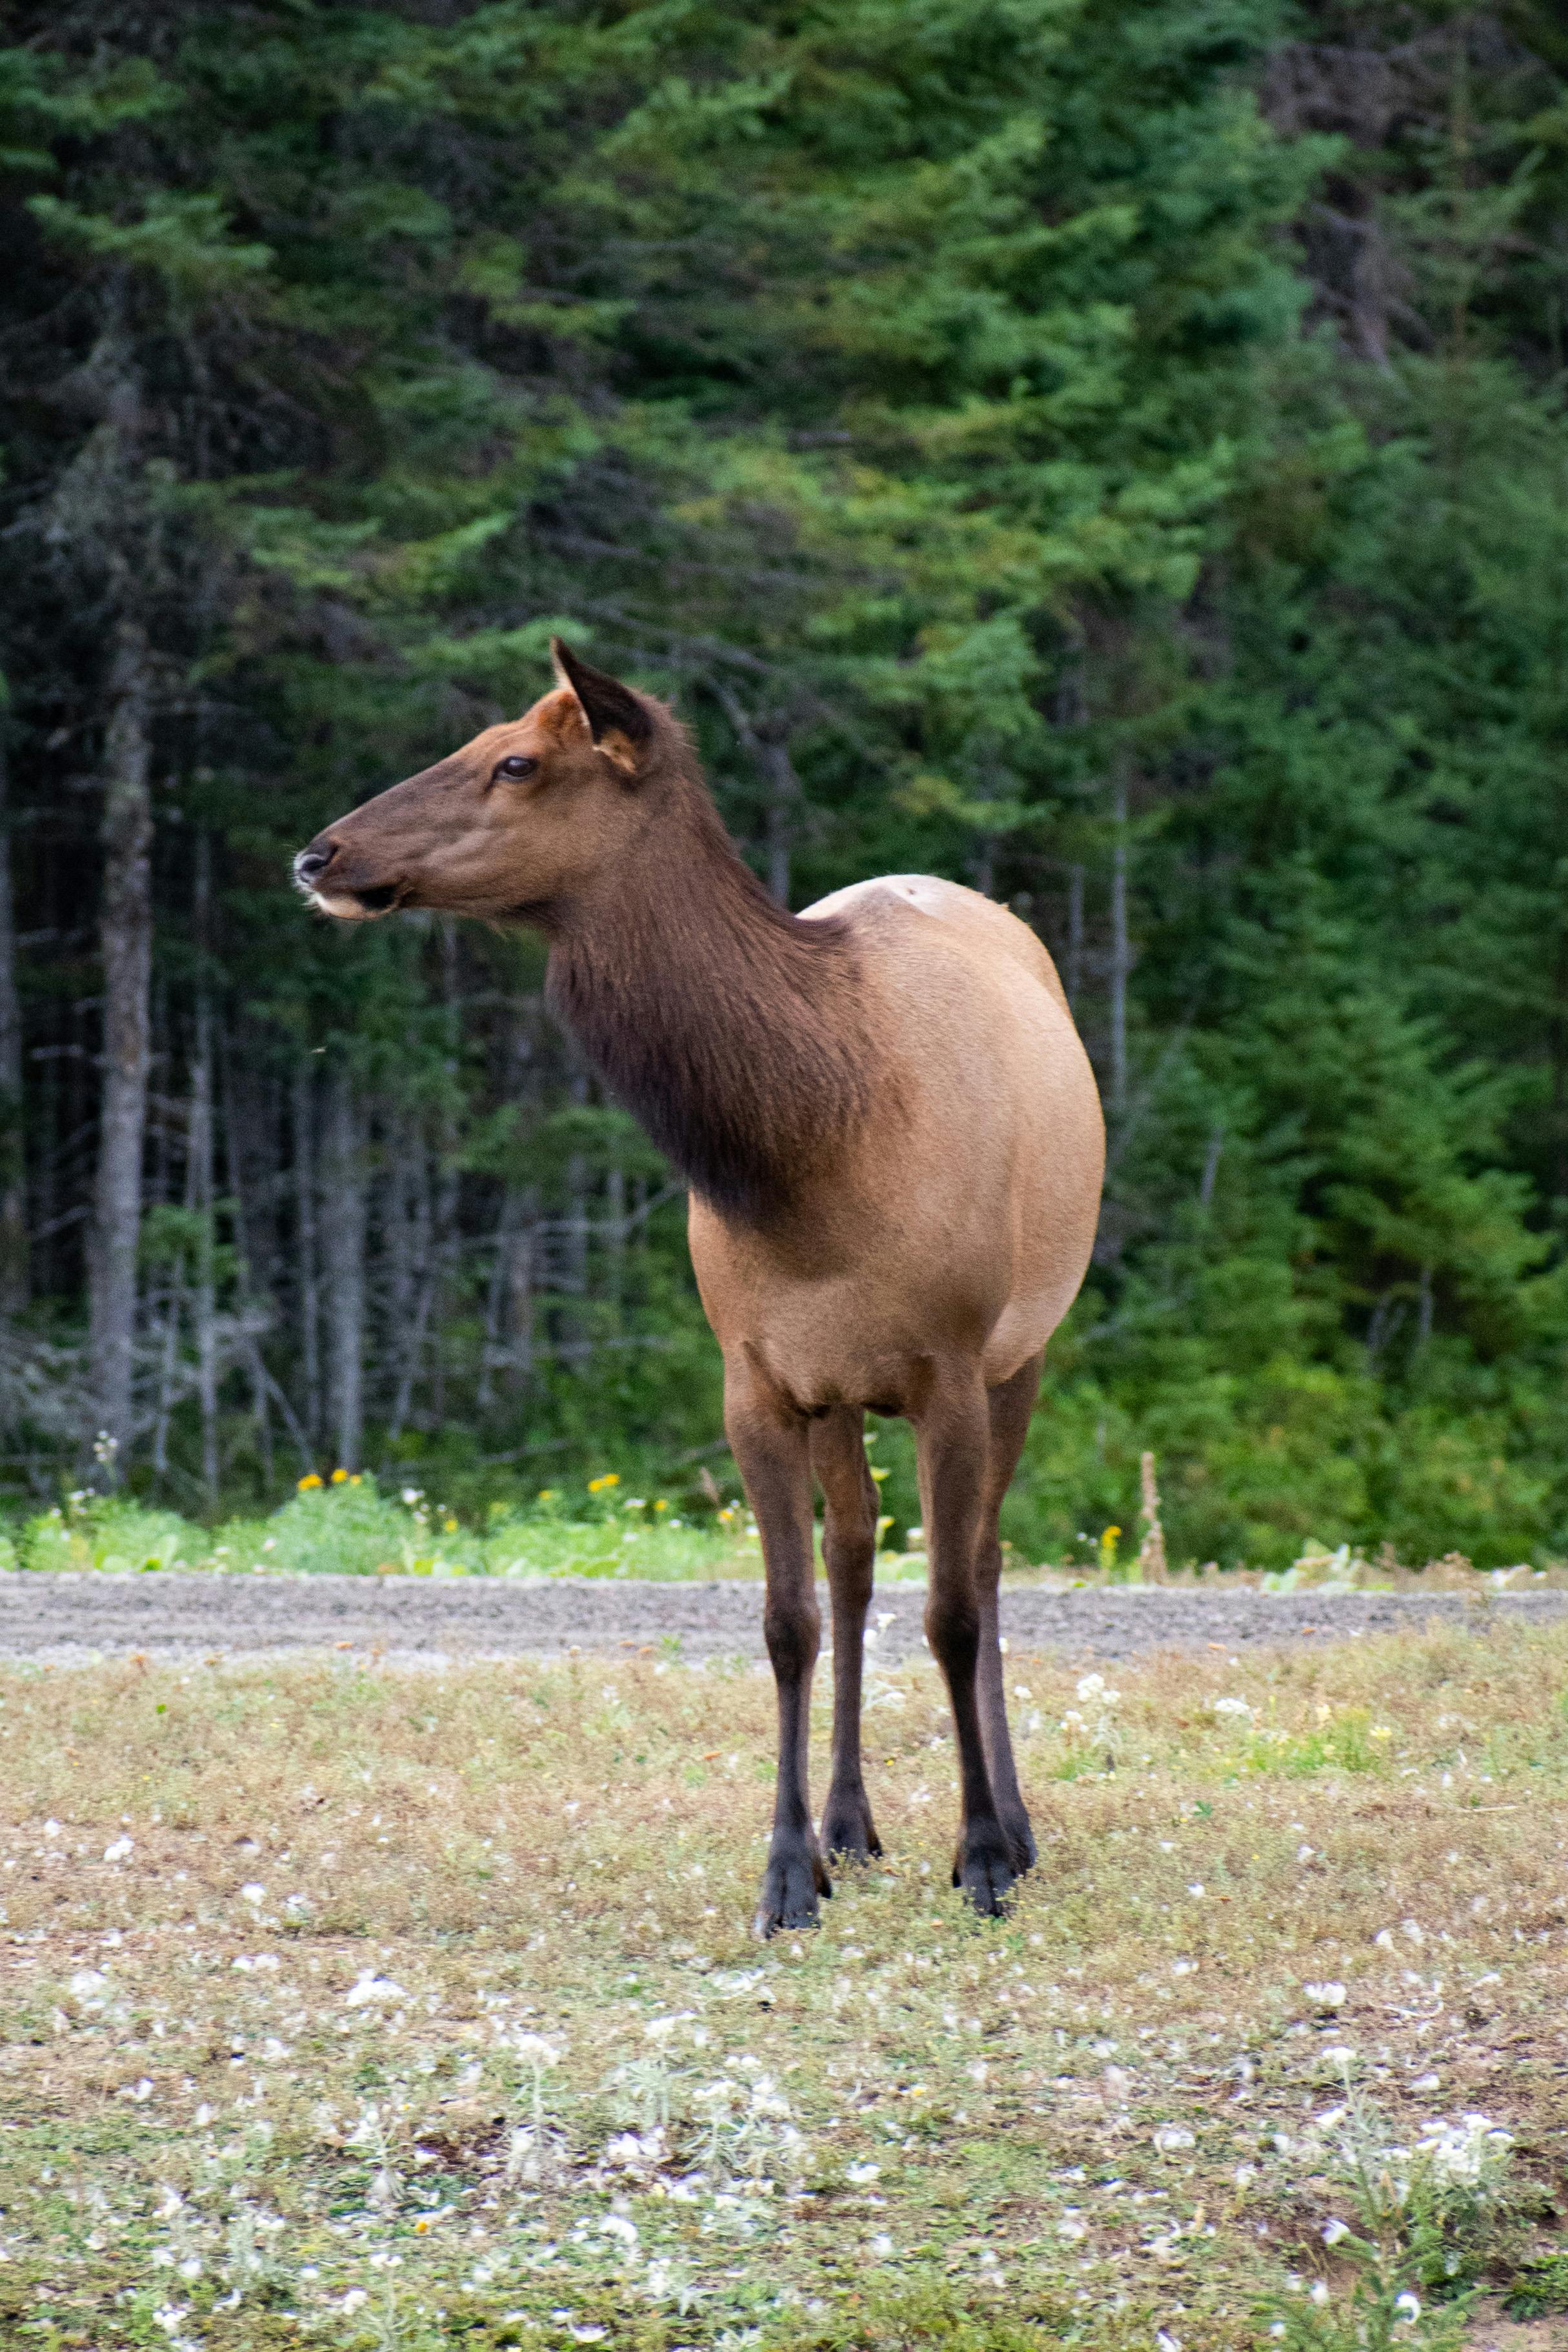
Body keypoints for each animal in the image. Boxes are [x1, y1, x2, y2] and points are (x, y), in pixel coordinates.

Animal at [294, 642, 1104, 1935]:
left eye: (515, 762)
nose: (320, 854)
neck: (817, 1159)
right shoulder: (757, 1378)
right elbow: (786, 1620)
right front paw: (788, 1870)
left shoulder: (952, 1362)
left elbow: (953, 1606)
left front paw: (981, 1853)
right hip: (844, 1393)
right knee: (856, 1556)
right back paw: (850, 1822)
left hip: (1026, 1345)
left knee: (978, 1559)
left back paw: (1015, 1828)